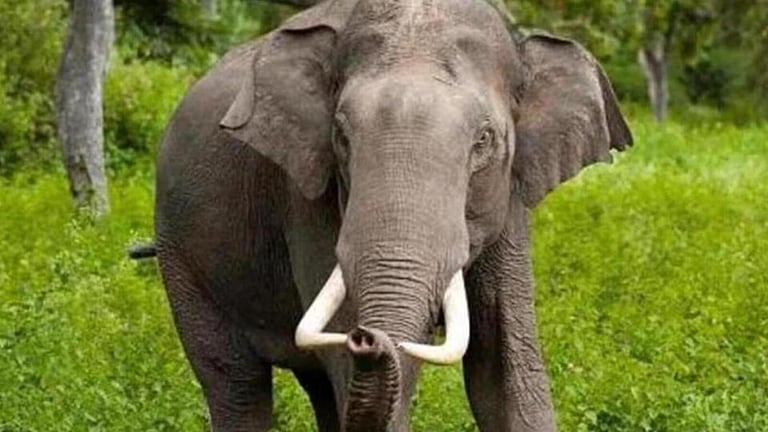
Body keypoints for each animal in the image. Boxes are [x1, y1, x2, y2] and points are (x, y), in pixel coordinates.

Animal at [149, 0, 632, 430]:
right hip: (180, 256)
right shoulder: (305, 195)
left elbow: (503, 371)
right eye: (341, 136)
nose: (367, 337)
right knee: (236, 384)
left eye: (484, 140)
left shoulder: (509, 198)